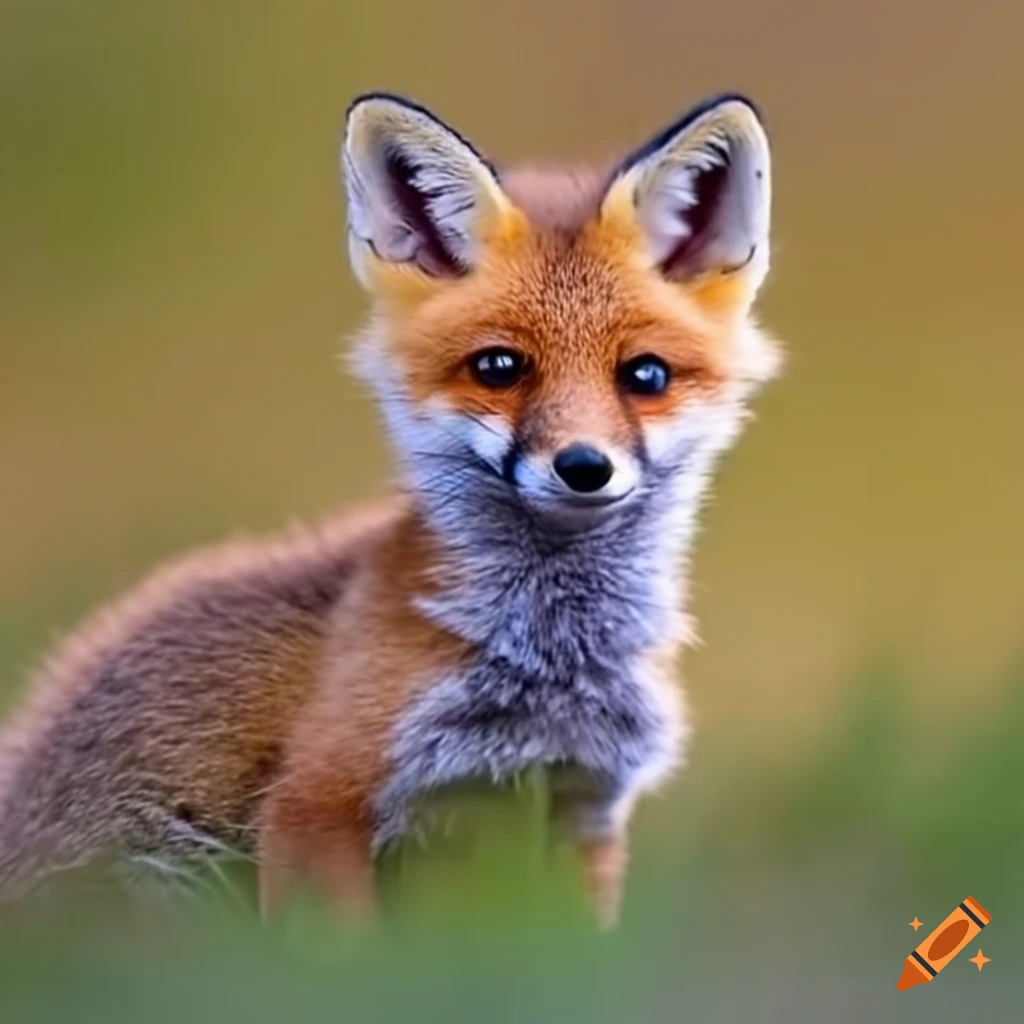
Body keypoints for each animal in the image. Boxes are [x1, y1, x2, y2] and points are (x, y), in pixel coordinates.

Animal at [0, 91, 781, 927]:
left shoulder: (585, 805)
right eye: (499, 367)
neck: (547, 664)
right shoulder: (317, 801)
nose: (583, 467)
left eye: (646, 375)